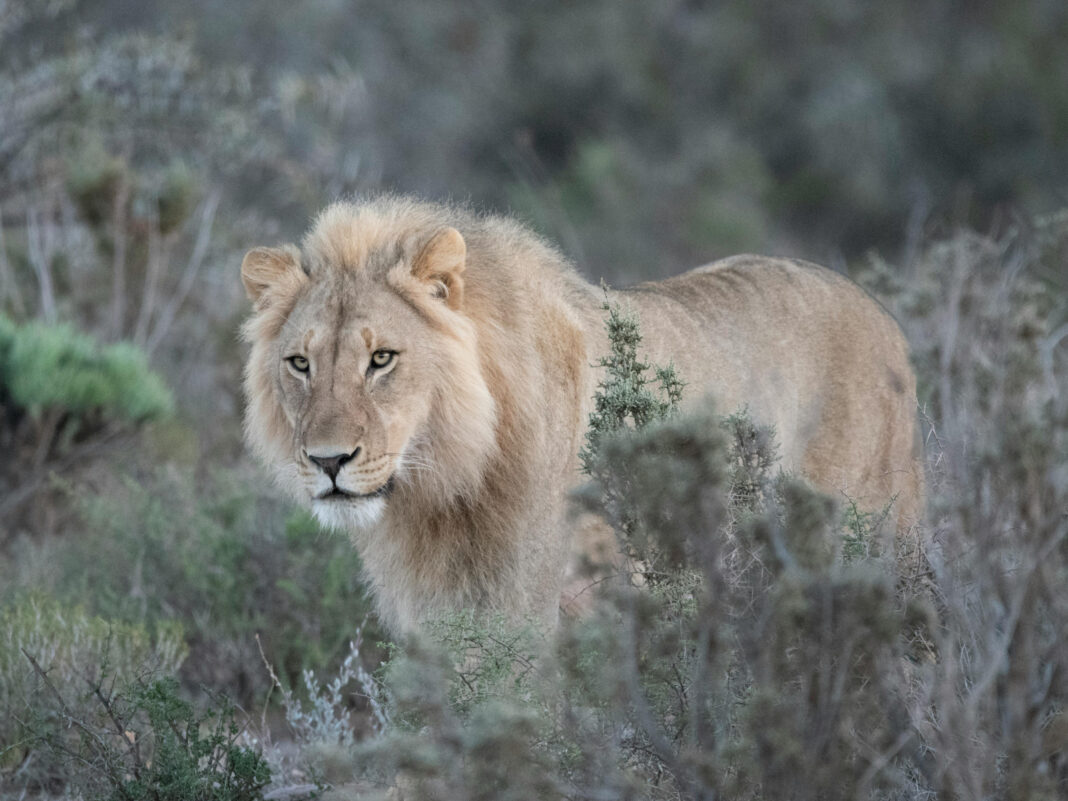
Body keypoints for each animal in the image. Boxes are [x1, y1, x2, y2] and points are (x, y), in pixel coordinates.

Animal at [240, 196, 923, 635]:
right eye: (300, 364)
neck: (445, 490)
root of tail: (883, 315)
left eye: (381, 359)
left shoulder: (542, 606)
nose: (328, 461)